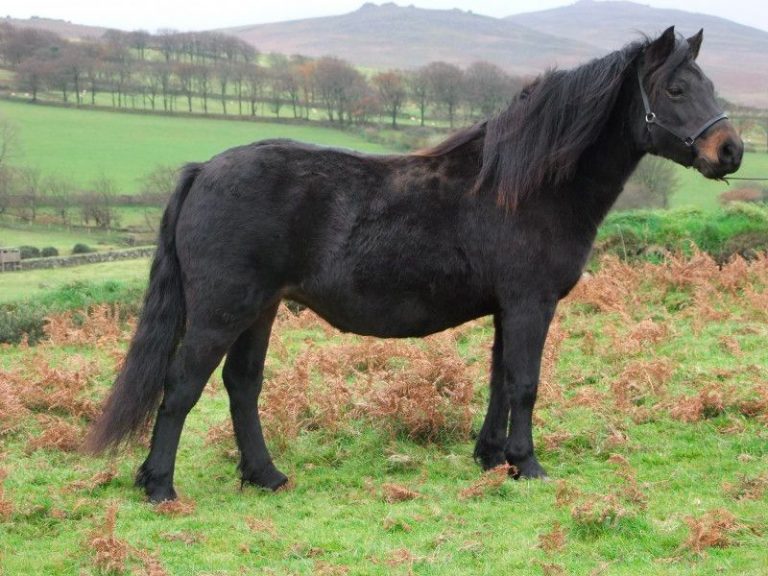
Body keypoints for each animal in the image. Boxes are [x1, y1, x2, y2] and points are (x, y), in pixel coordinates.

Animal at [85, 27, 743, 502]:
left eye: (709, 82)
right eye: (676, 90)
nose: (731, 150)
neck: (527, 185)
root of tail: (204, 170)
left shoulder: (506, 308)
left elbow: (500, 380)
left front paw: (491, 457)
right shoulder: (530, 303)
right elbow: (525, 384)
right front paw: (526, 464)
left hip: (260, 310)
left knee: (242, 387)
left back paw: (265, 476)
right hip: (222, 311)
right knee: (181, 388)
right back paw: (159, 486)